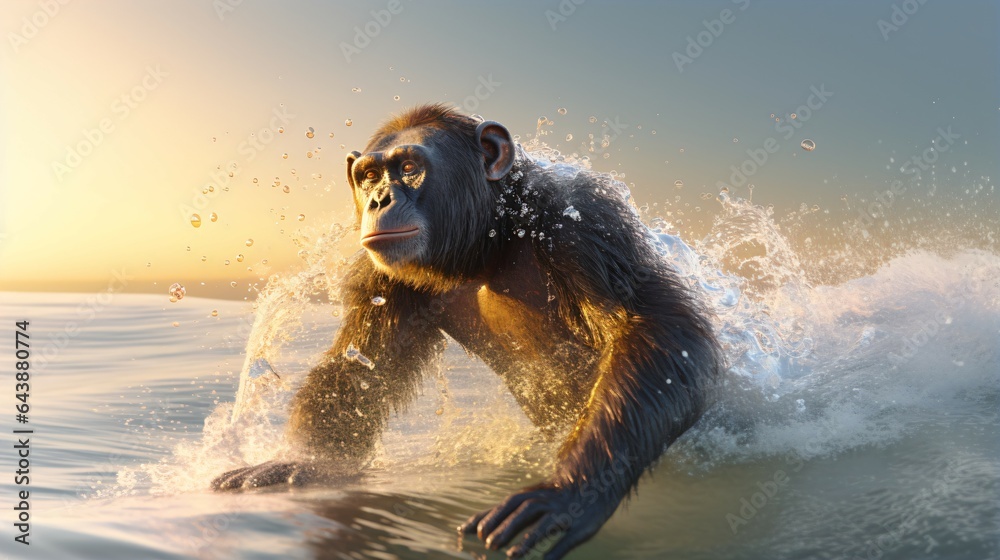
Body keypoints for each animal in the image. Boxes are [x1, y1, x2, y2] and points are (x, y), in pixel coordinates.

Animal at [212, 104, 722, 559]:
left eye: (409, 167)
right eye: (370, 176)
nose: (379, 200)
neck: (492, 240)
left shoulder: (586, 223)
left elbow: (657, 327)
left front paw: (570, 492)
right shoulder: (386, 279)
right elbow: (362, 366)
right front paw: (305, 462)